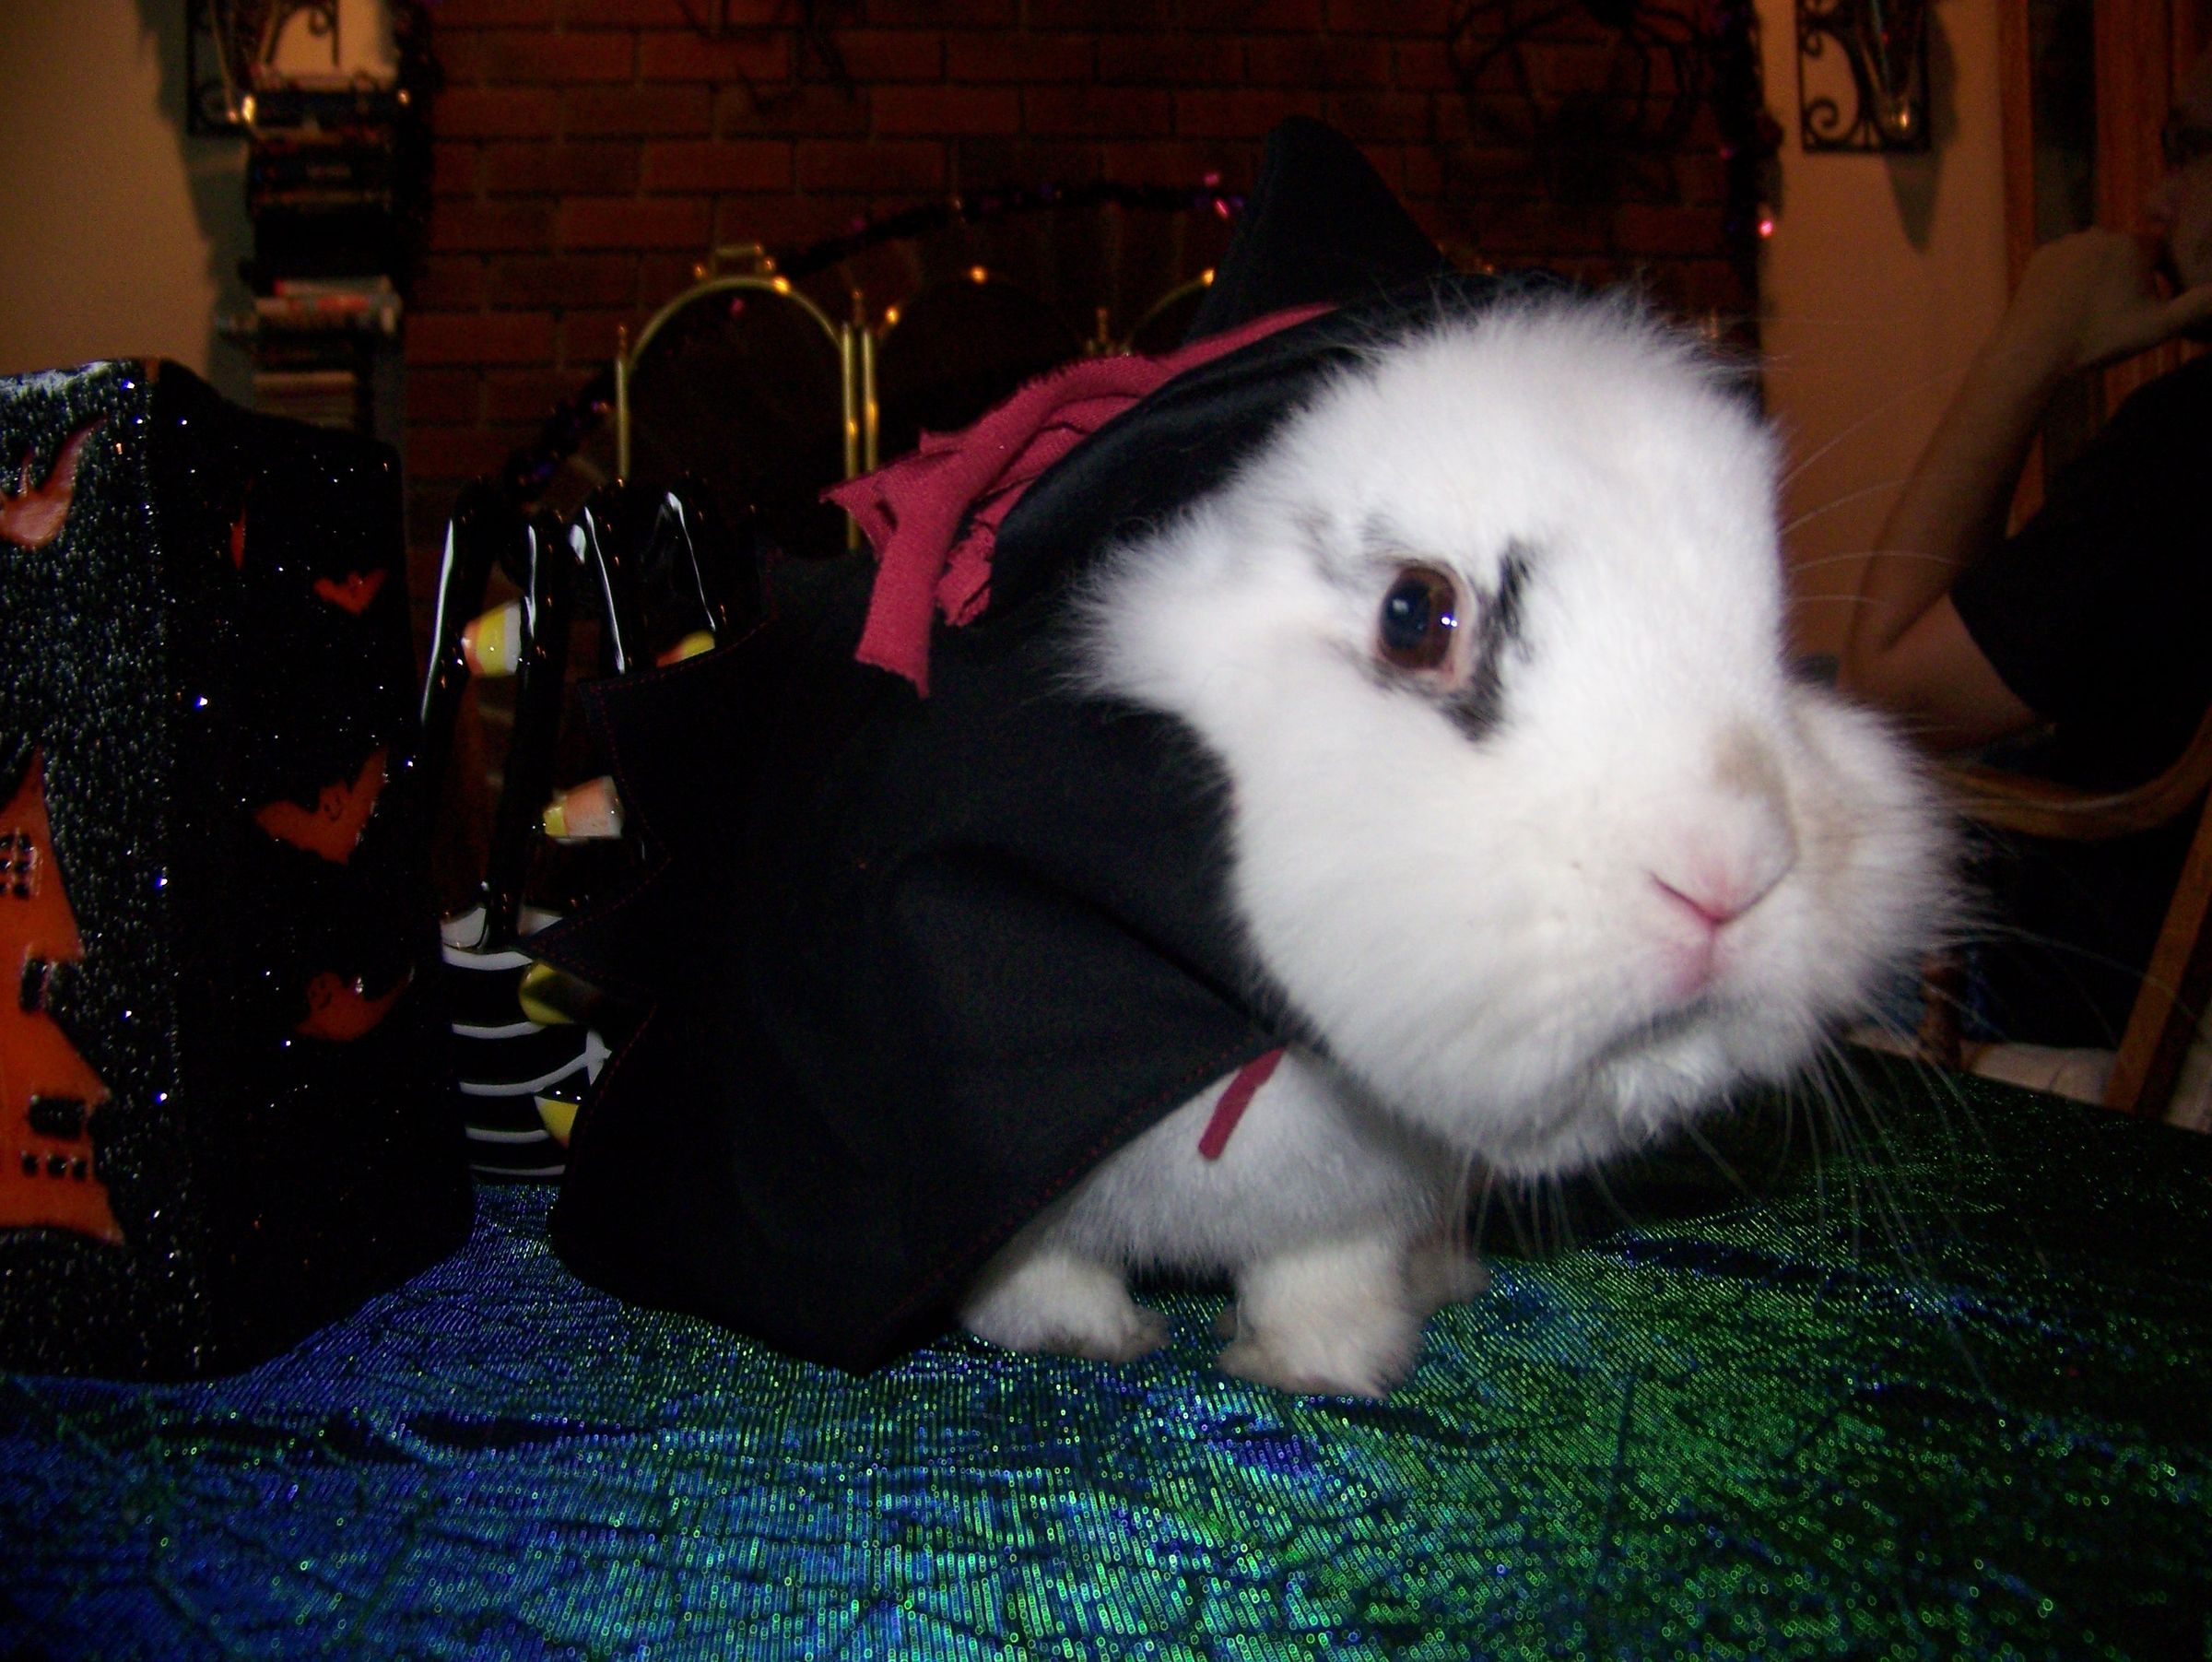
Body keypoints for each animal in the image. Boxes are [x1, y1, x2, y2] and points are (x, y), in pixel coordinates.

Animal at [957, 291, 1953, 1398]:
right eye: (1413, 614)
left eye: (1778, 647)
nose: (1725, 875)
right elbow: (1038, 1260)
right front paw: (1077, 1336)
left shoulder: (1342, 1208)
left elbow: (1318, 1276)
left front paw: (1322, 1368)